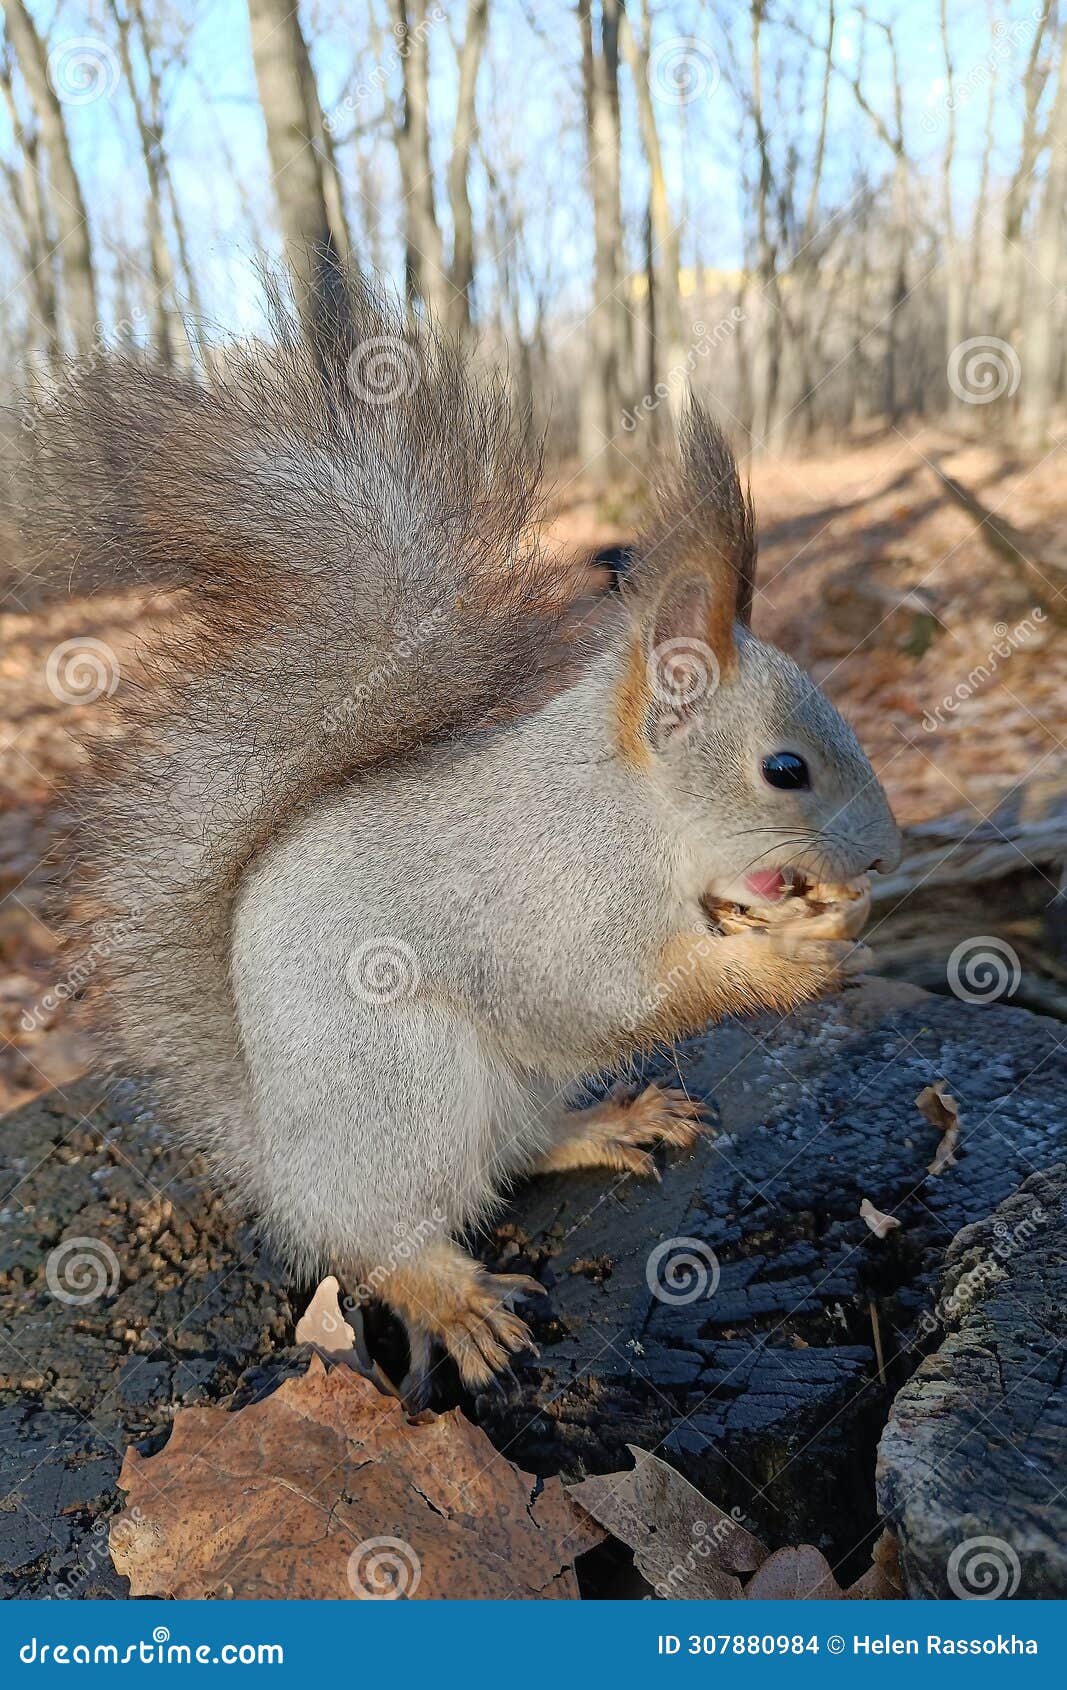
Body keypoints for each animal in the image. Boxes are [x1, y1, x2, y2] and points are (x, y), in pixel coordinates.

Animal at [30, 277, 901, 1400]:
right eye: (784, 770)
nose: (882, 855)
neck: (632, 813)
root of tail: (286, 1169)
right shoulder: (556, 903)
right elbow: (609, 995)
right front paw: (783, 960)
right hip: (407, 1087)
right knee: (382, 1240)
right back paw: (451, 1294)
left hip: (505, 1087)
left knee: (514, 1150)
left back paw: (604, 1123)